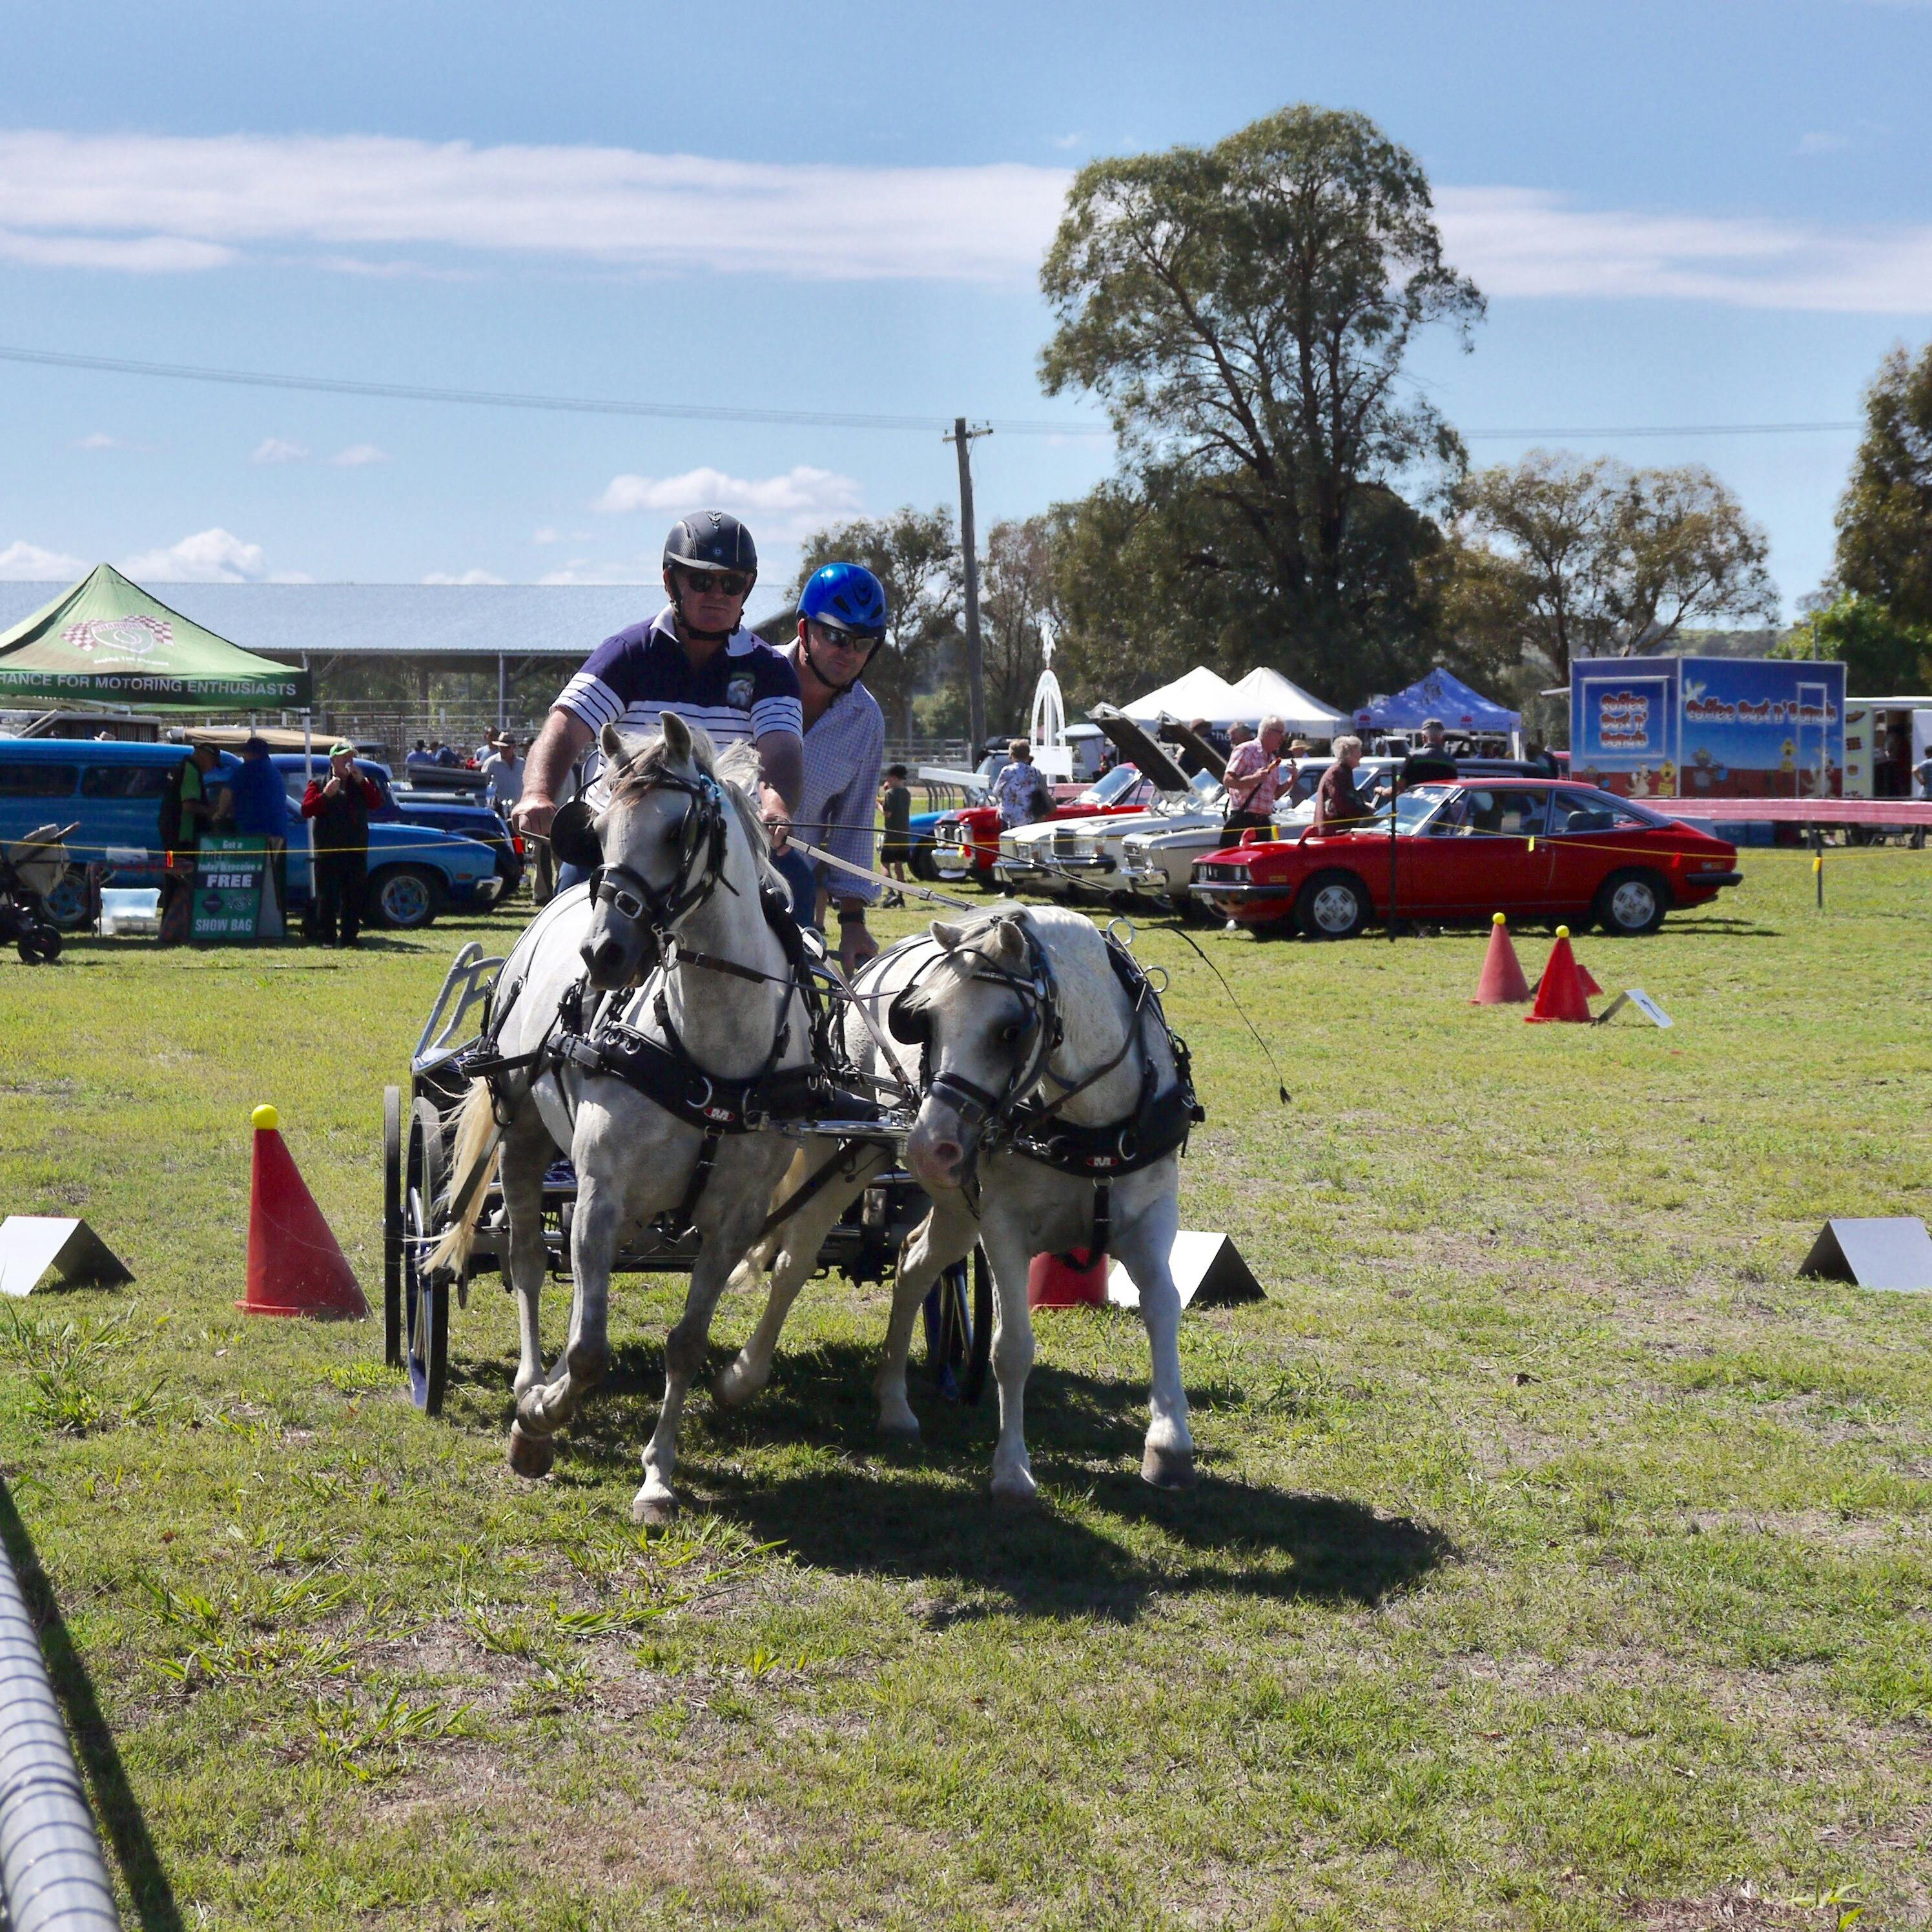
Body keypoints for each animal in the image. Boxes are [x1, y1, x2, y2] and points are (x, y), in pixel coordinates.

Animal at [429, 715, 815, 1524]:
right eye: (599, 830)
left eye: (676, 832)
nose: (605, 952)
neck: (711, 1050)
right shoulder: (601, 1193)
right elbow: (588, 1351)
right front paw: (538, 1423)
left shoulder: (734, 1218)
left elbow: (685, 1344)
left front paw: (658, 1477)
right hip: (524, 1136)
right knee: (526, 1262)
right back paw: (529, 1383)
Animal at [716, 903, 1200, 1506]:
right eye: (923, 1021)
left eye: (1010, 1030)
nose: (931, 1144)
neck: (1090, 1123)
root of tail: (864, 969)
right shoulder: (1004, 1228)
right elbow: (1012, 1347)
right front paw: (1012, 1471)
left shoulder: (1152, 1218)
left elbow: (1164, 1307)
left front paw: (1169, 1446)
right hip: (848, 1151)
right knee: (793, 1263)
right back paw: (743, 1376)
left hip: (953, 1206)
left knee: (915, 1265)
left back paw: (894, 1404)